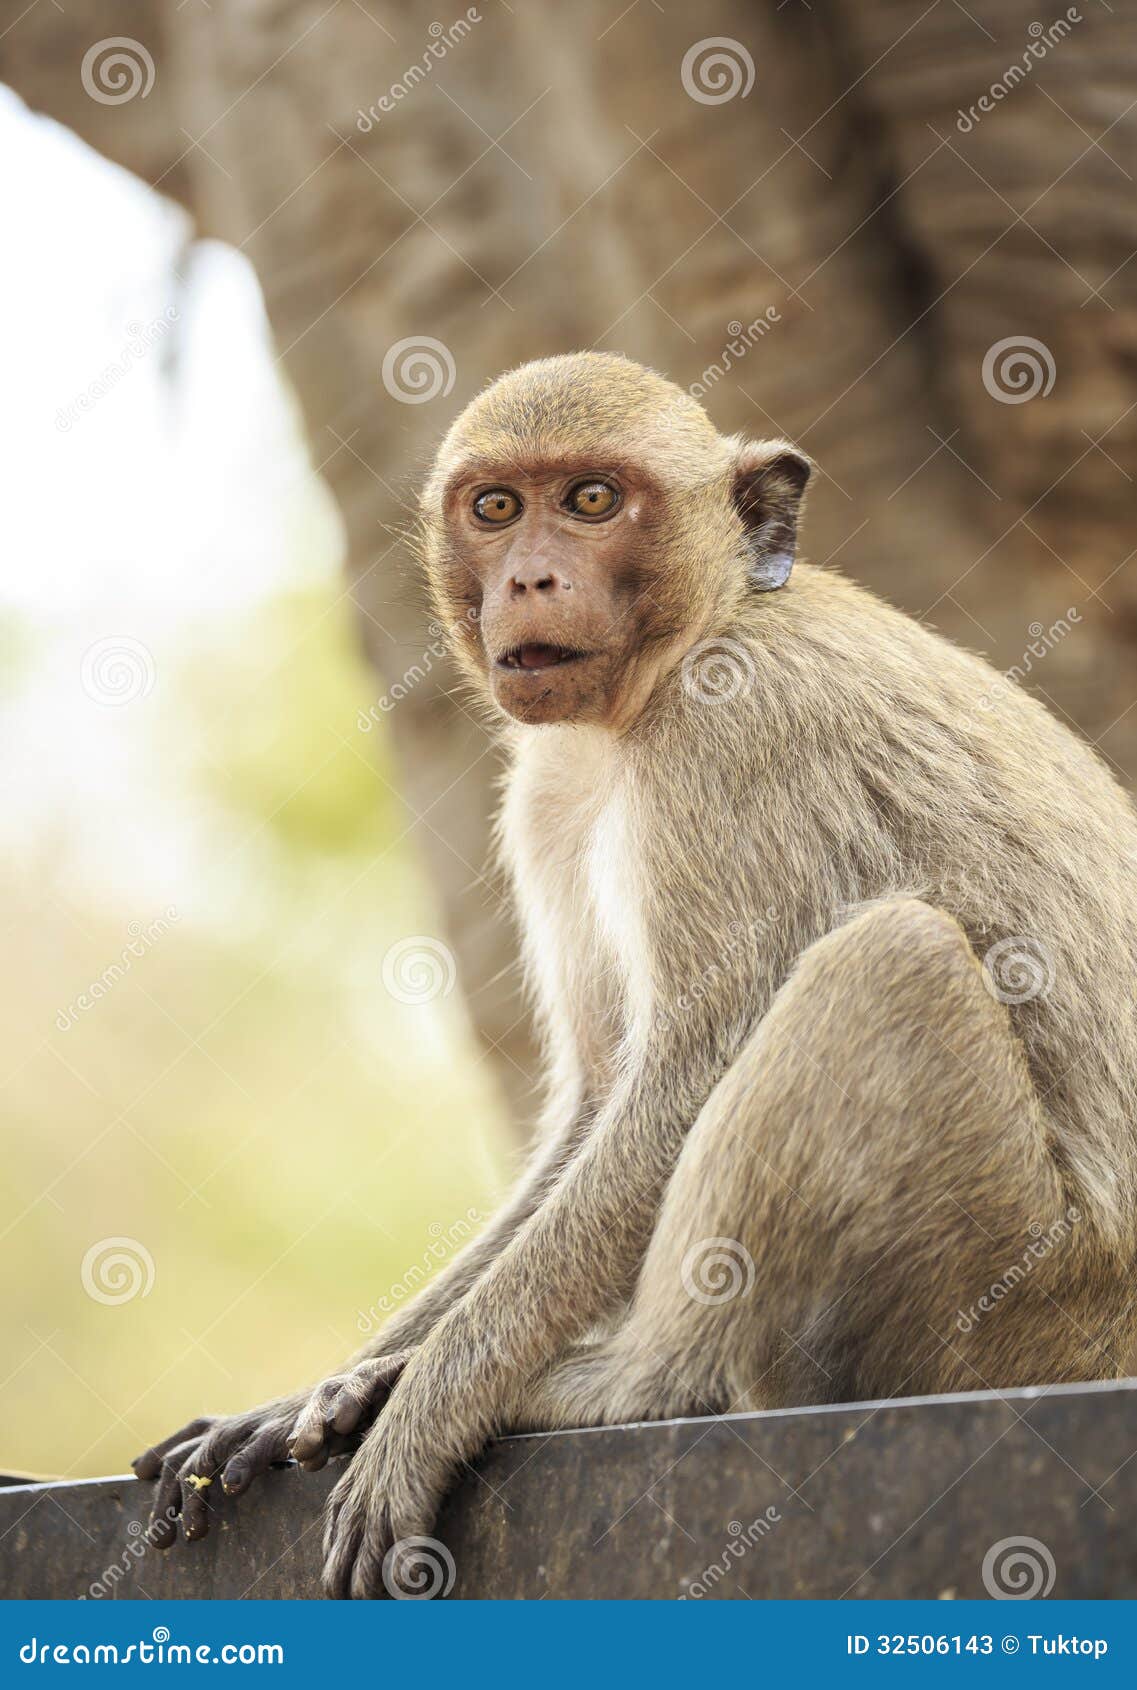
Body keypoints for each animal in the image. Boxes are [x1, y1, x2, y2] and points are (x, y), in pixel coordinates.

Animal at [134, 351, 1137, 1599]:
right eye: (497, 507)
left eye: (594, 501)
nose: (532, 576)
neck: (699, 637)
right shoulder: (546, 791)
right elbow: (601, 1097)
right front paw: (342, 1385)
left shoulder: (729, 726)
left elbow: (679, 1079)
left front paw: (426, 1405)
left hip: (1014, 1298)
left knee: (888, 961)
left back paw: (648, 1383)